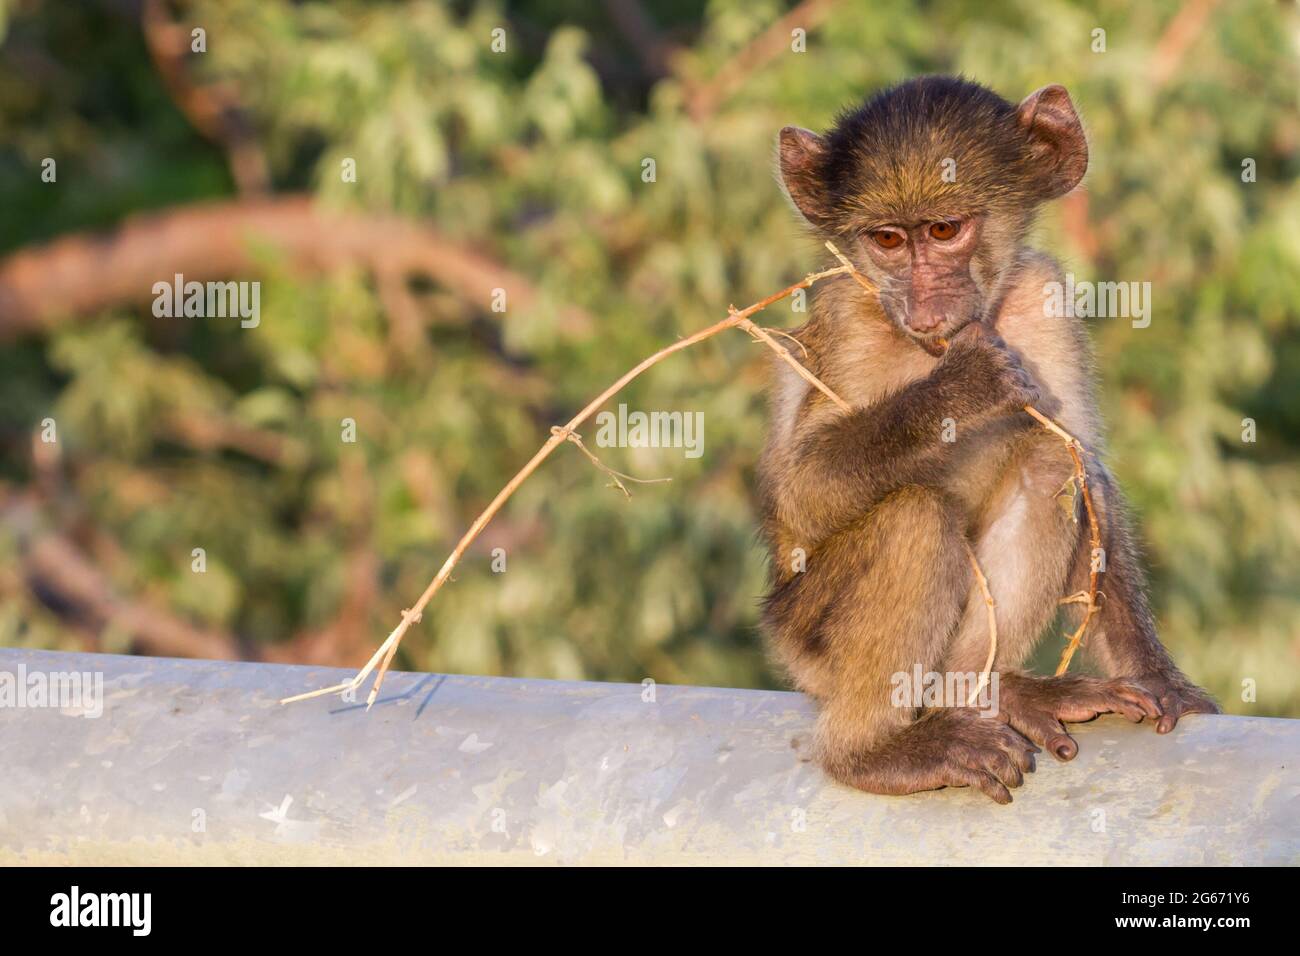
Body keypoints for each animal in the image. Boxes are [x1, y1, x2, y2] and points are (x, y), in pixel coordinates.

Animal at [757, 76, 1218, 804]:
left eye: (945, 229)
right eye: (887, 239)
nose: (925, 306)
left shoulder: (1042, 296)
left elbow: (1085, 467)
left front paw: (1160, 680)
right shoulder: (849, 319)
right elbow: (798, 494)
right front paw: (966, 385)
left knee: (1048, 464)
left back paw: (988, 694)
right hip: (804, 637)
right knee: (912, 516)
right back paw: (875, 752)